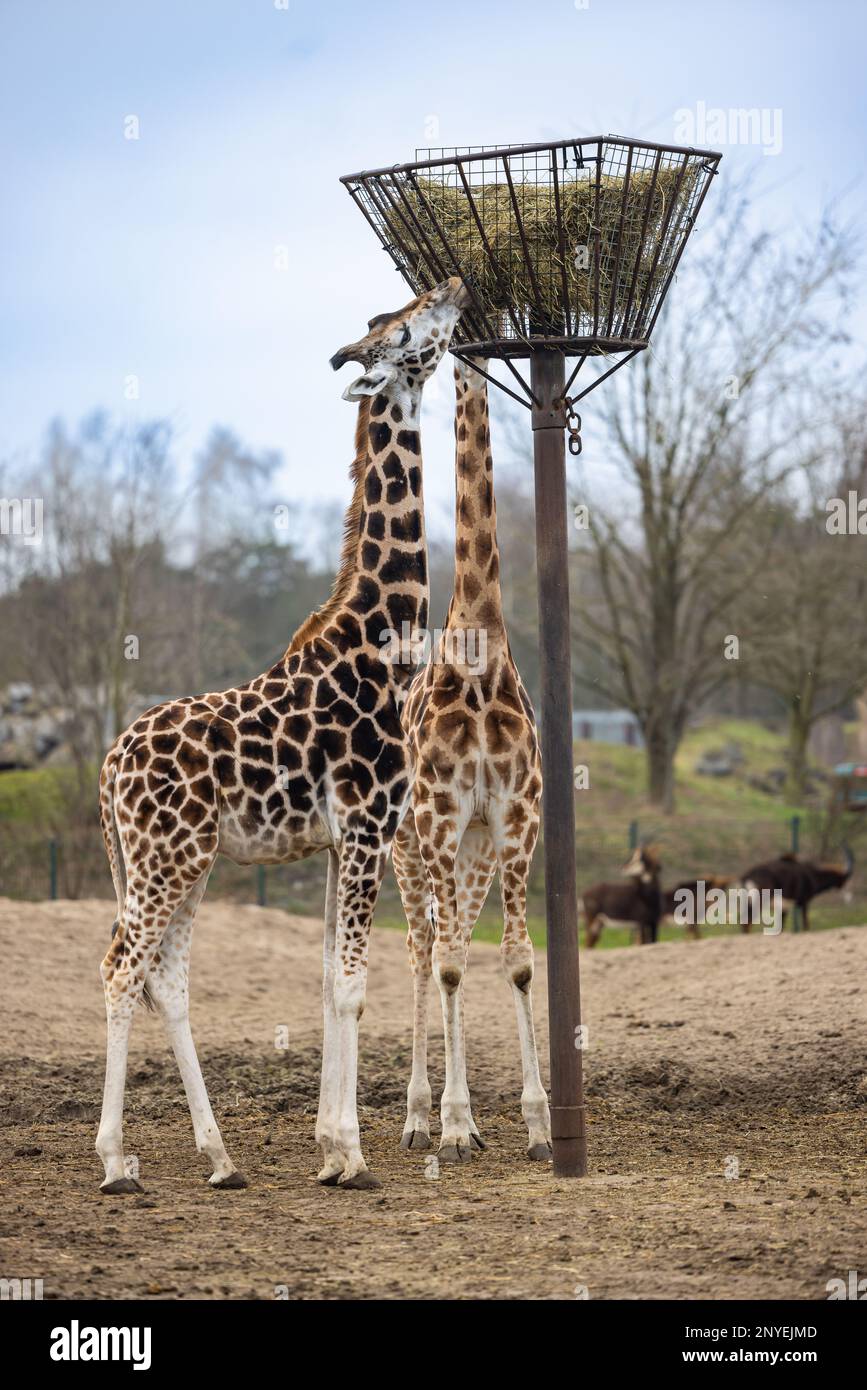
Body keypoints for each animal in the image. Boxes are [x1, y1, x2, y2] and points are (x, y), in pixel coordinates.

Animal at [95, 276, 471, 1195]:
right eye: (403, 330)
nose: (453, 286)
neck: (381, 649)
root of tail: (106, 769)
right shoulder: (369, 829)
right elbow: (351, 986)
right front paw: (354, 1156)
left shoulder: (337, 843)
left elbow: (327, 982)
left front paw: (331, 1146)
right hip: (164, 861)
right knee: (123, 970)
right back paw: (117, 1163)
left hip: (180, 863)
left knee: (163, 977)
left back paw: (220, 1158)